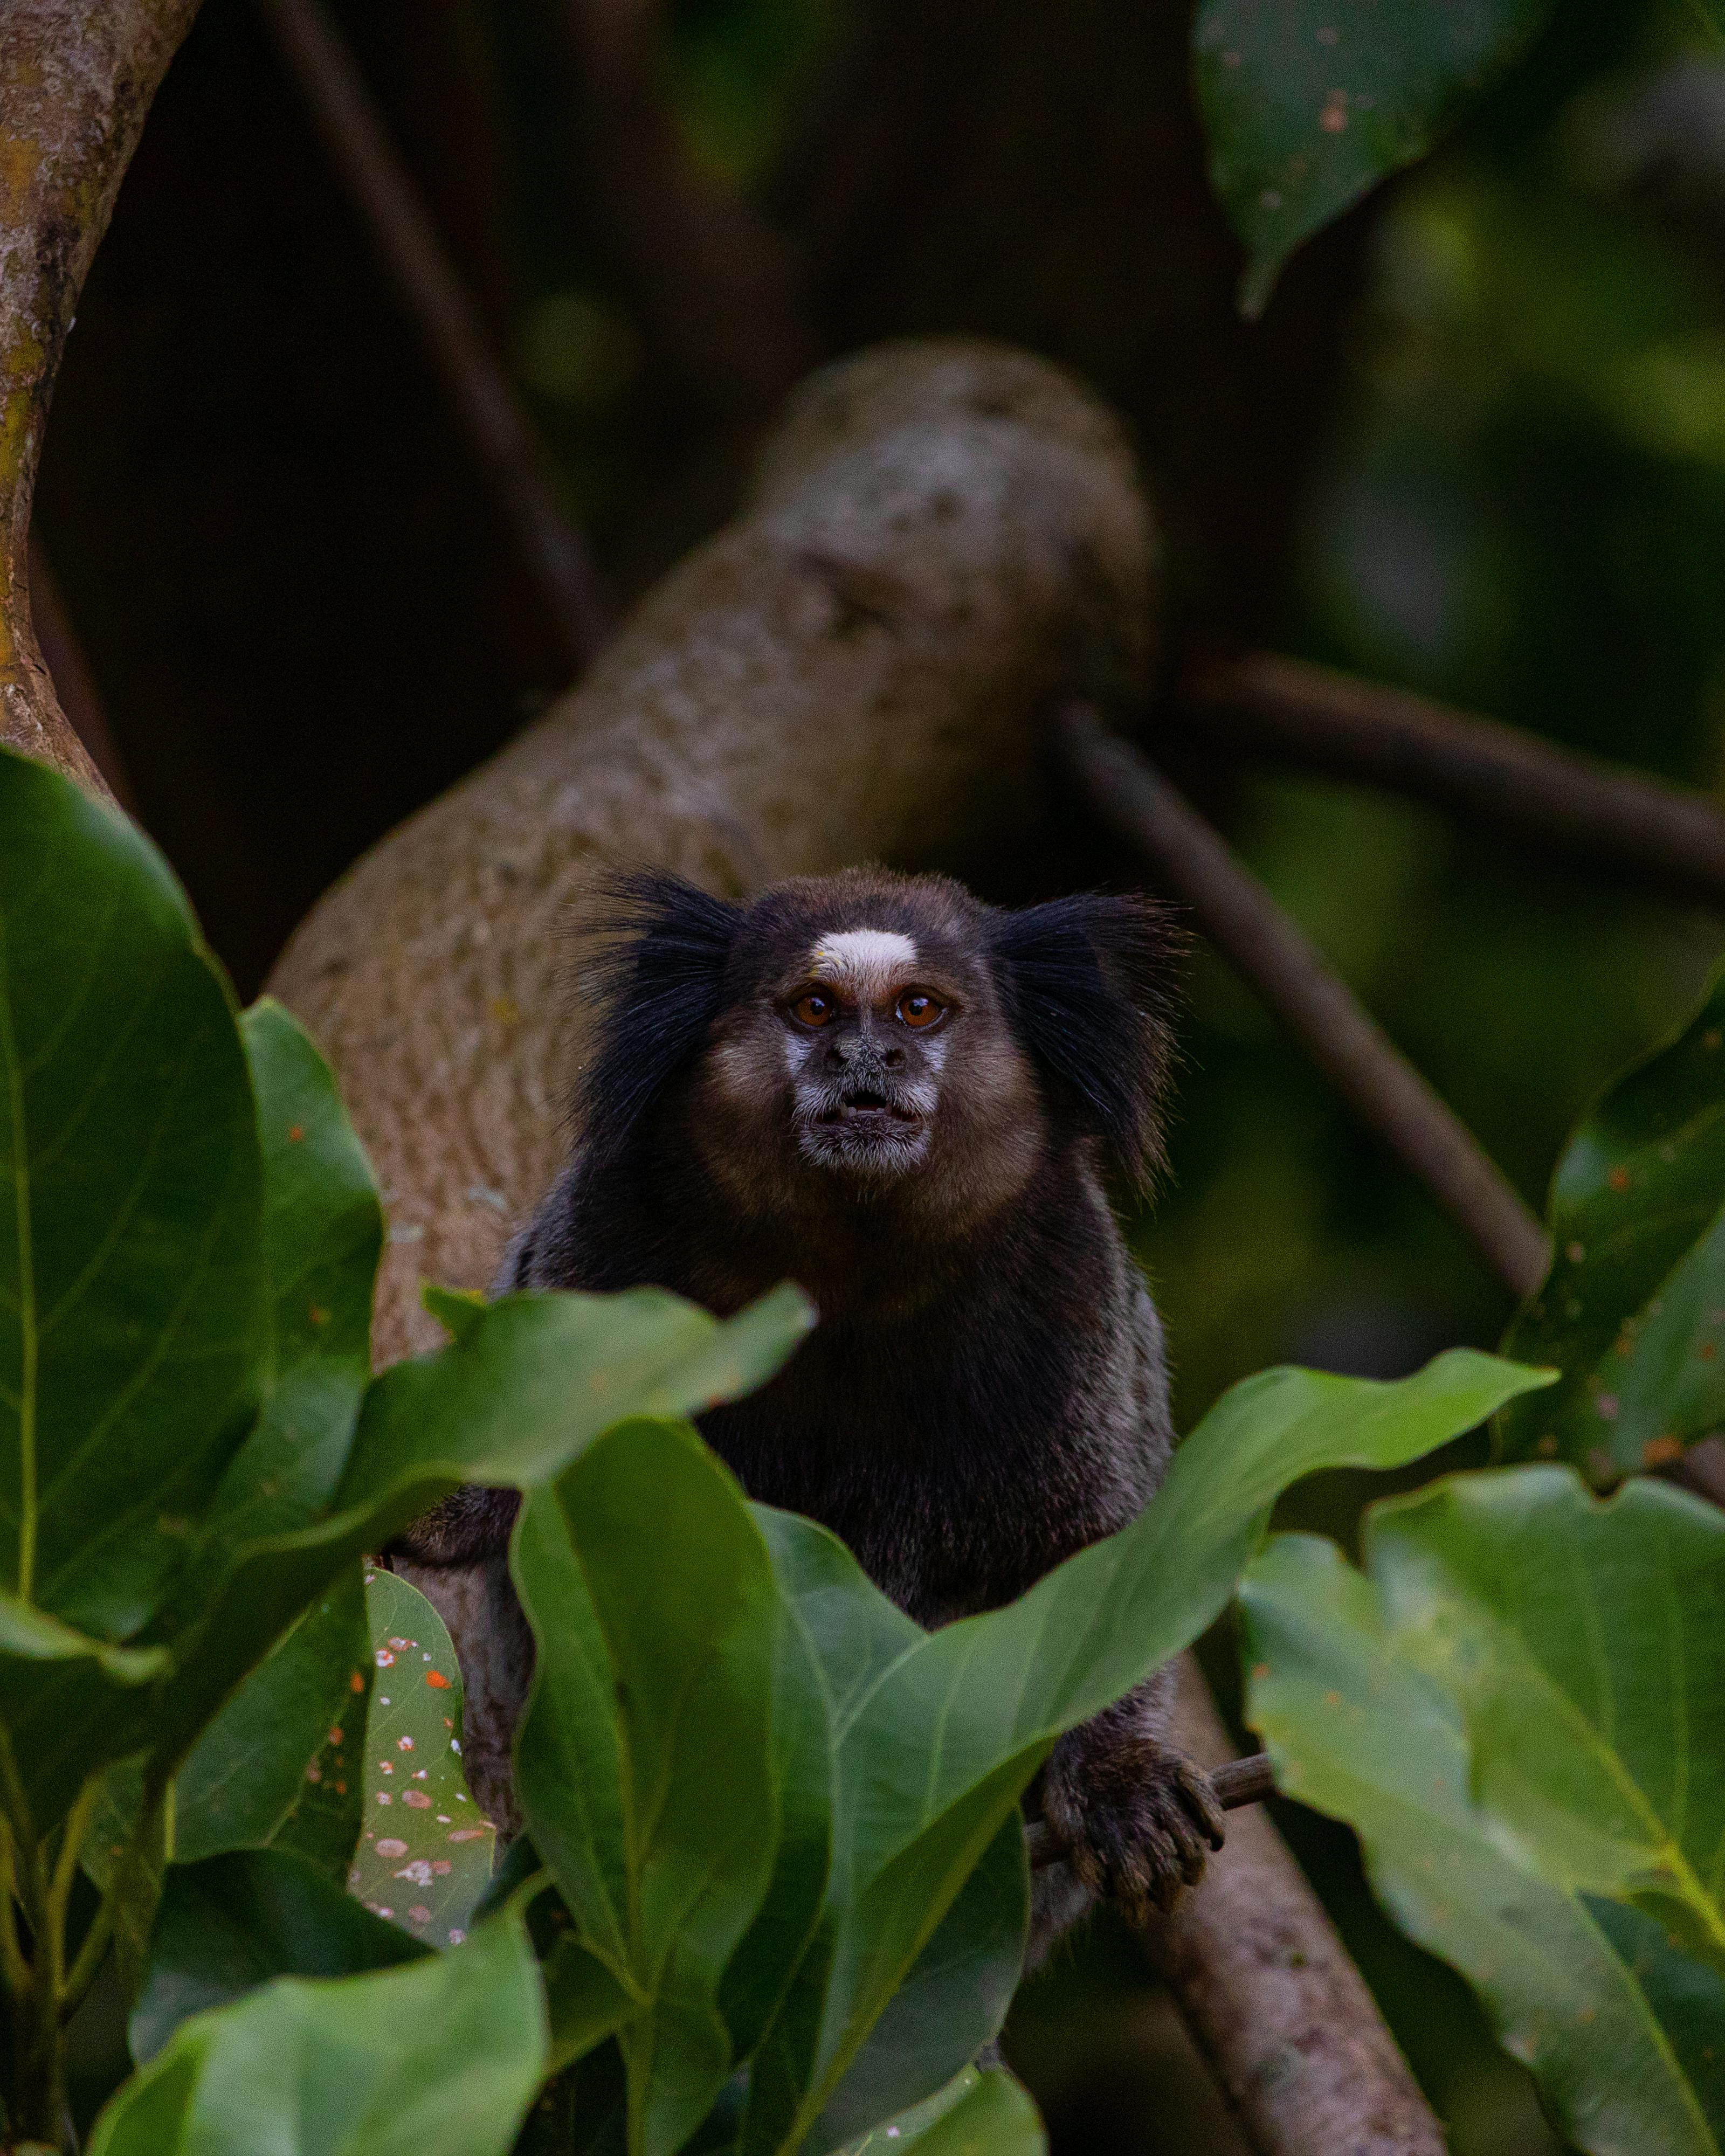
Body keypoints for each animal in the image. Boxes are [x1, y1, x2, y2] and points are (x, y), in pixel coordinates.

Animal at [394, 864, 1225, 1941]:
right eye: (816, 1008)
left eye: (918, 1009)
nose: (865, 1056)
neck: (849, 1279)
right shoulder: (606, 1238)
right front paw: (432, 1504)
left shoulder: (1069, 1285)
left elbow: (1099, 1557)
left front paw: (1125, 1782)